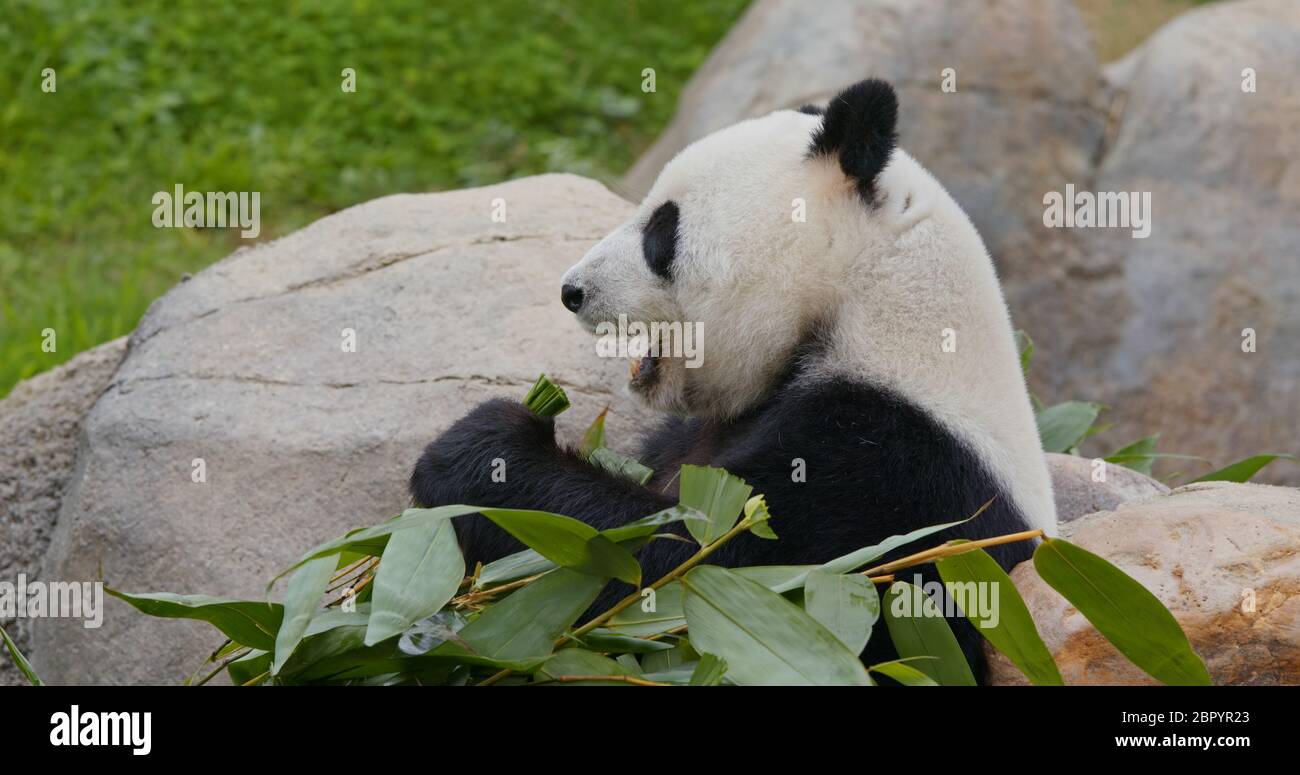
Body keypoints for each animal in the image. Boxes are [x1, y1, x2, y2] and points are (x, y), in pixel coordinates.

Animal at [410, 78, 1056, 679]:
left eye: (662, 231)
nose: (572, 290)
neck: (863, 303)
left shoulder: (901, 480)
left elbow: (693, 571)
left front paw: (482, 448)